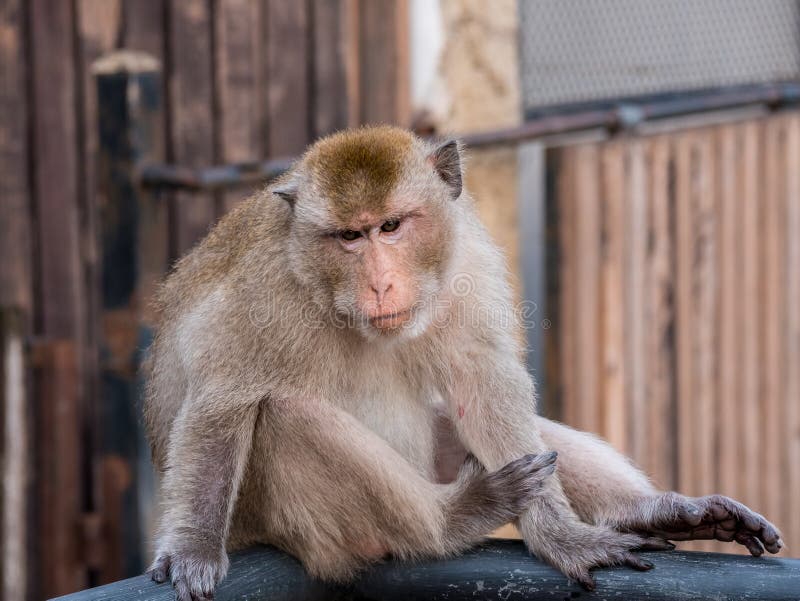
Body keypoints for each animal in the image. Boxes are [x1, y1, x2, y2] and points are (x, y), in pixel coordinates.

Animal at [144, 126, 782, 600]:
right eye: (349, 237)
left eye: (391, 226)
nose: (380, 284)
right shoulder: (267, 292)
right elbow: (224, 399)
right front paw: (195, 547)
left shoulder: (464, 262)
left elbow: (483, 378)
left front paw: (561, 536)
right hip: (288, 525)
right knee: (286, 417)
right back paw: (455, 519)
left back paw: (655, 513)